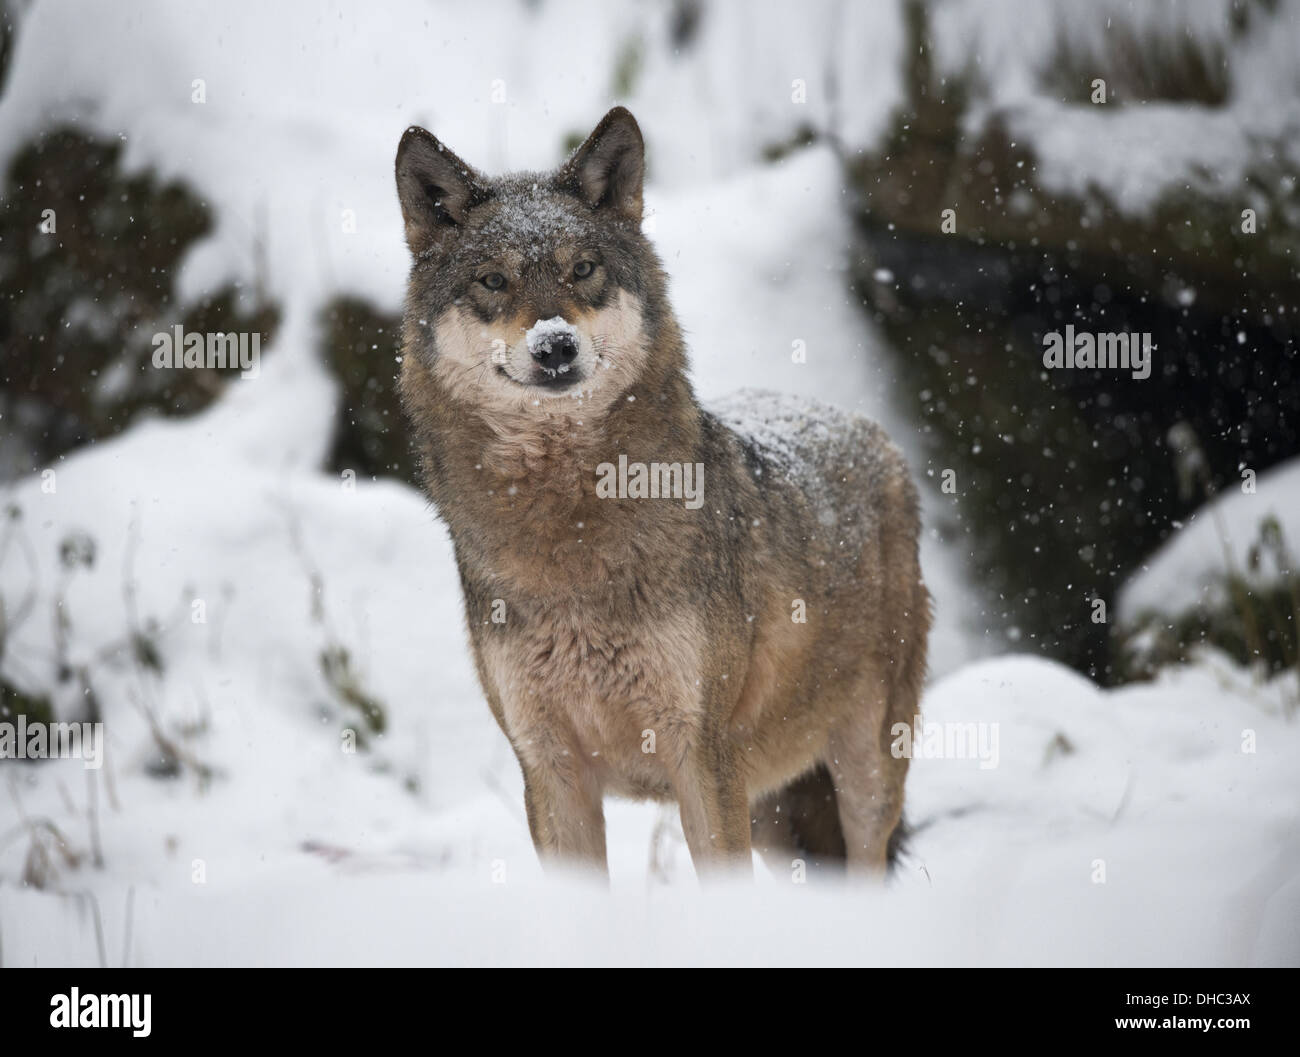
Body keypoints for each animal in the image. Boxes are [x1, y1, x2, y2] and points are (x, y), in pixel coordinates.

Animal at [394, 107, 930, 879]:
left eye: (583, 270)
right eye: (494, 280)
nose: (555, 346)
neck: (569, 532)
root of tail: (873, 434)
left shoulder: (699, 754)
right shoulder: (549, 768)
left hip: (862, 774)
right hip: (772, 810)